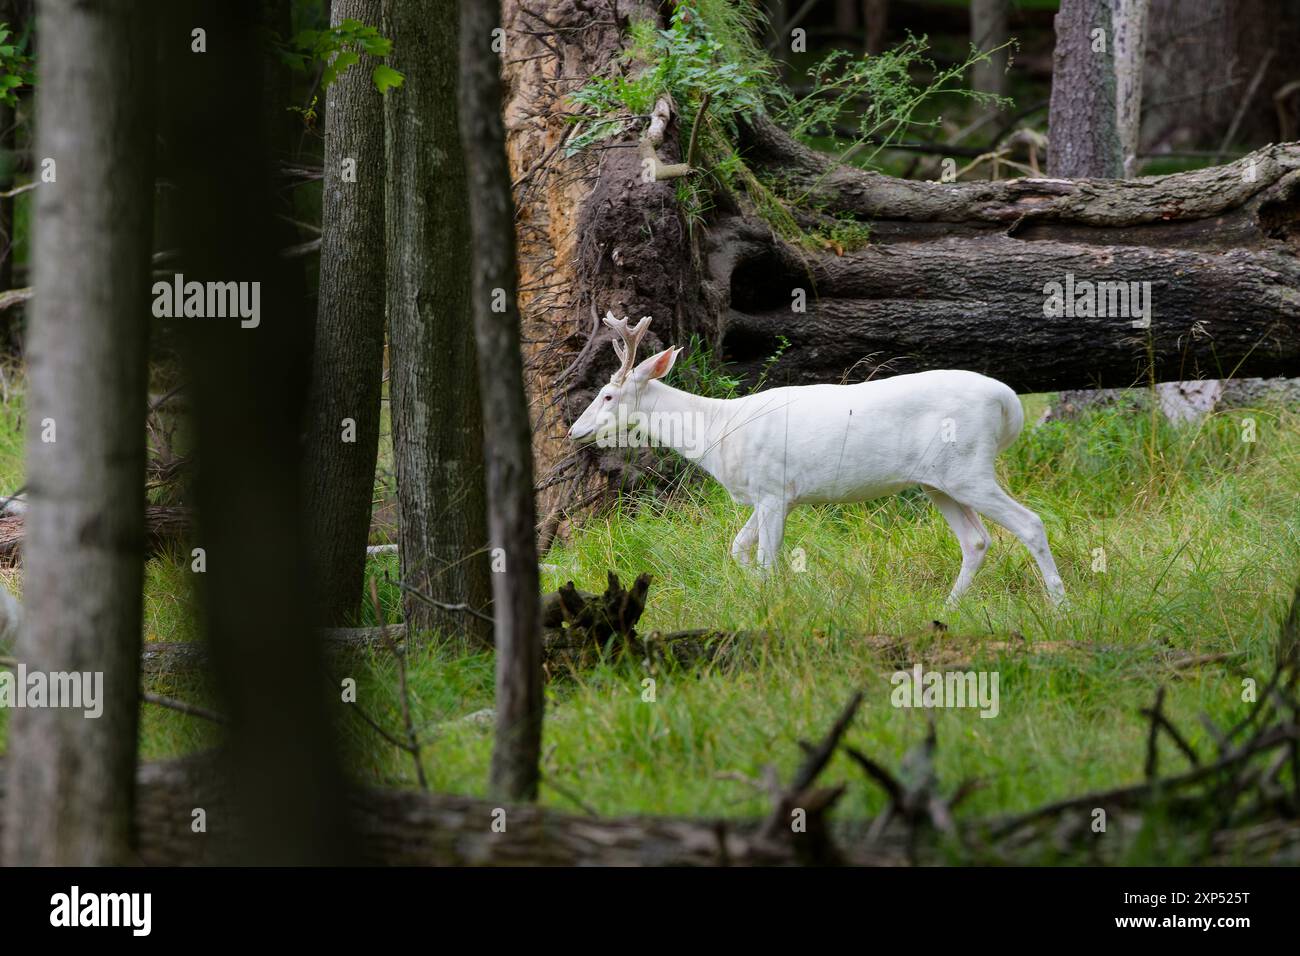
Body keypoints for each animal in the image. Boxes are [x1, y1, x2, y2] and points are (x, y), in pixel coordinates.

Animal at [567, 314, 1066, 606]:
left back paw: (1059, 607)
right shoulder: (768, 496)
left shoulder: (774, 490)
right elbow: (738, 548)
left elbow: (767, 559)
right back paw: (948, 608)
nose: (575, 430)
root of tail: (1008, 402)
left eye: (608, 394)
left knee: (1030, 523)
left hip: (968, 468)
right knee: (977, 541)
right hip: (938, 481)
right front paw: (763, 595)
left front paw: (772, 605)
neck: (717, 429)